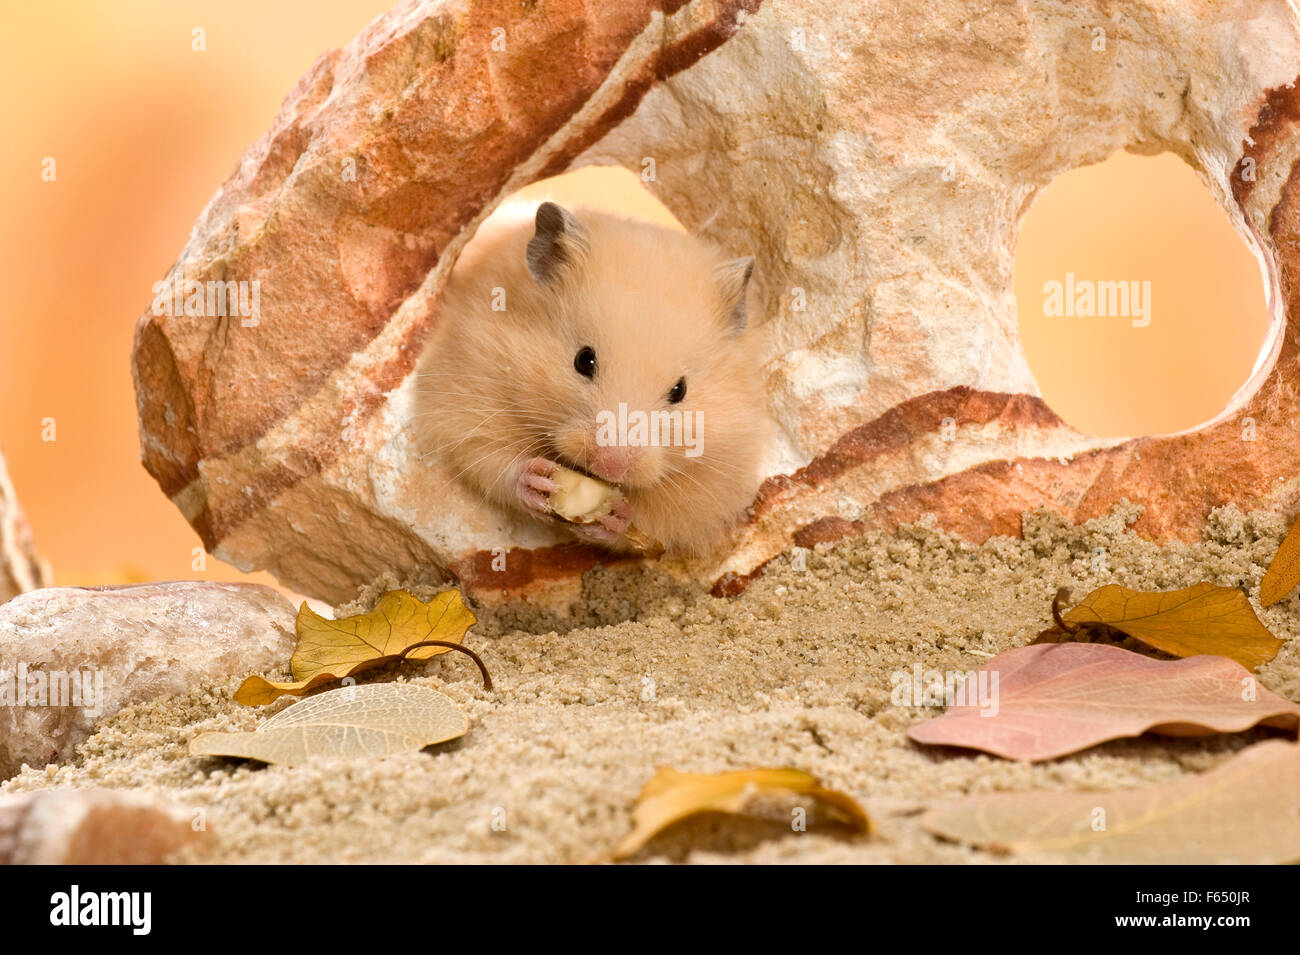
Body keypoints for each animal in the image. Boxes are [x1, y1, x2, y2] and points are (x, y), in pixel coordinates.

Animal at [413, 198, 768, 555]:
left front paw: (616, 515)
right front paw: (536, 479)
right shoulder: (468, 379)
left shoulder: (719, 475)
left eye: (679, 390)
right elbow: (486, 454)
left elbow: (660, 519)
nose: (610, 465)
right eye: (584, 360)